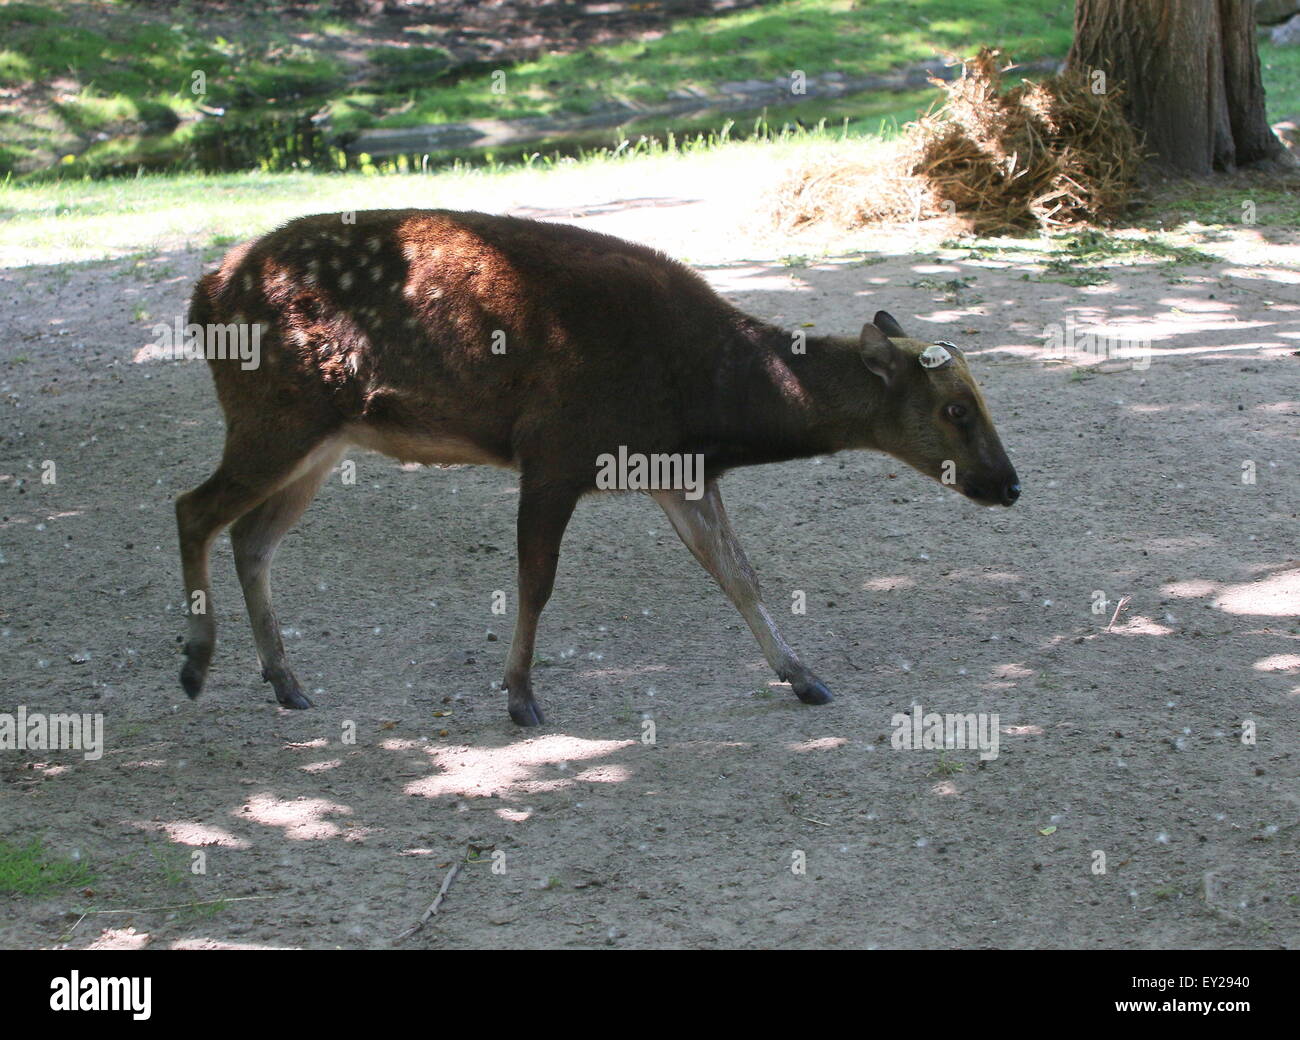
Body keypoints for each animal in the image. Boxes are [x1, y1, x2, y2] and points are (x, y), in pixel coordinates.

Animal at [175, 209, 1019, 726]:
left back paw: (286, 682)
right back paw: (196, 664)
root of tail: (202, 295)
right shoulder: (555, 450)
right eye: (956, 409)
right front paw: (520, 697)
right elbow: (535, 582)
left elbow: (738, 572)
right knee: (193, 507)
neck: (705, 403)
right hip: (275, 415)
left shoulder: (677, 470)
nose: (1010, 484)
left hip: (321, 439)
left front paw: (804, 675)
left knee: (250, 535)